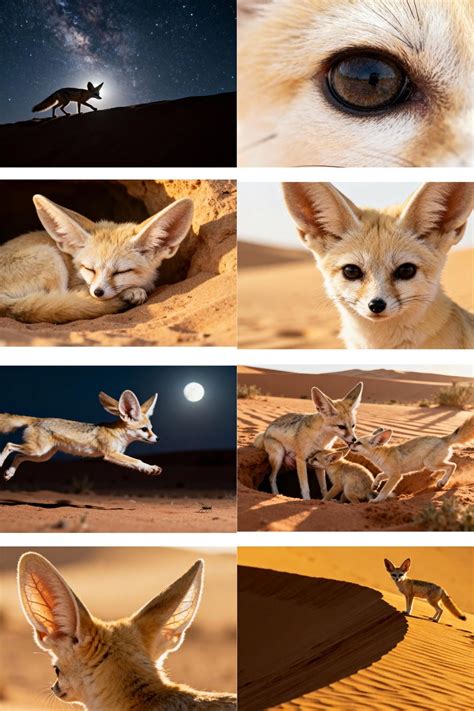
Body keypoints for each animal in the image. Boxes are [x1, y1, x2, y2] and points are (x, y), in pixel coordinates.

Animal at [0, 389, 161, 482]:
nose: (157, 439)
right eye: (144, 429)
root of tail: (37, 419)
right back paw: (1, 463)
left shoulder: (115, 454)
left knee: (18, 455)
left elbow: (134, 462)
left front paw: (150, 469)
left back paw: (9, 473)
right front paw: (150, 468)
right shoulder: (110, 454)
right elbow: (136, 461)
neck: (117, 433)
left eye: (151, 428)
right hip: (37, 451)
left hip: (42, 456)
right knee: (9, 445)